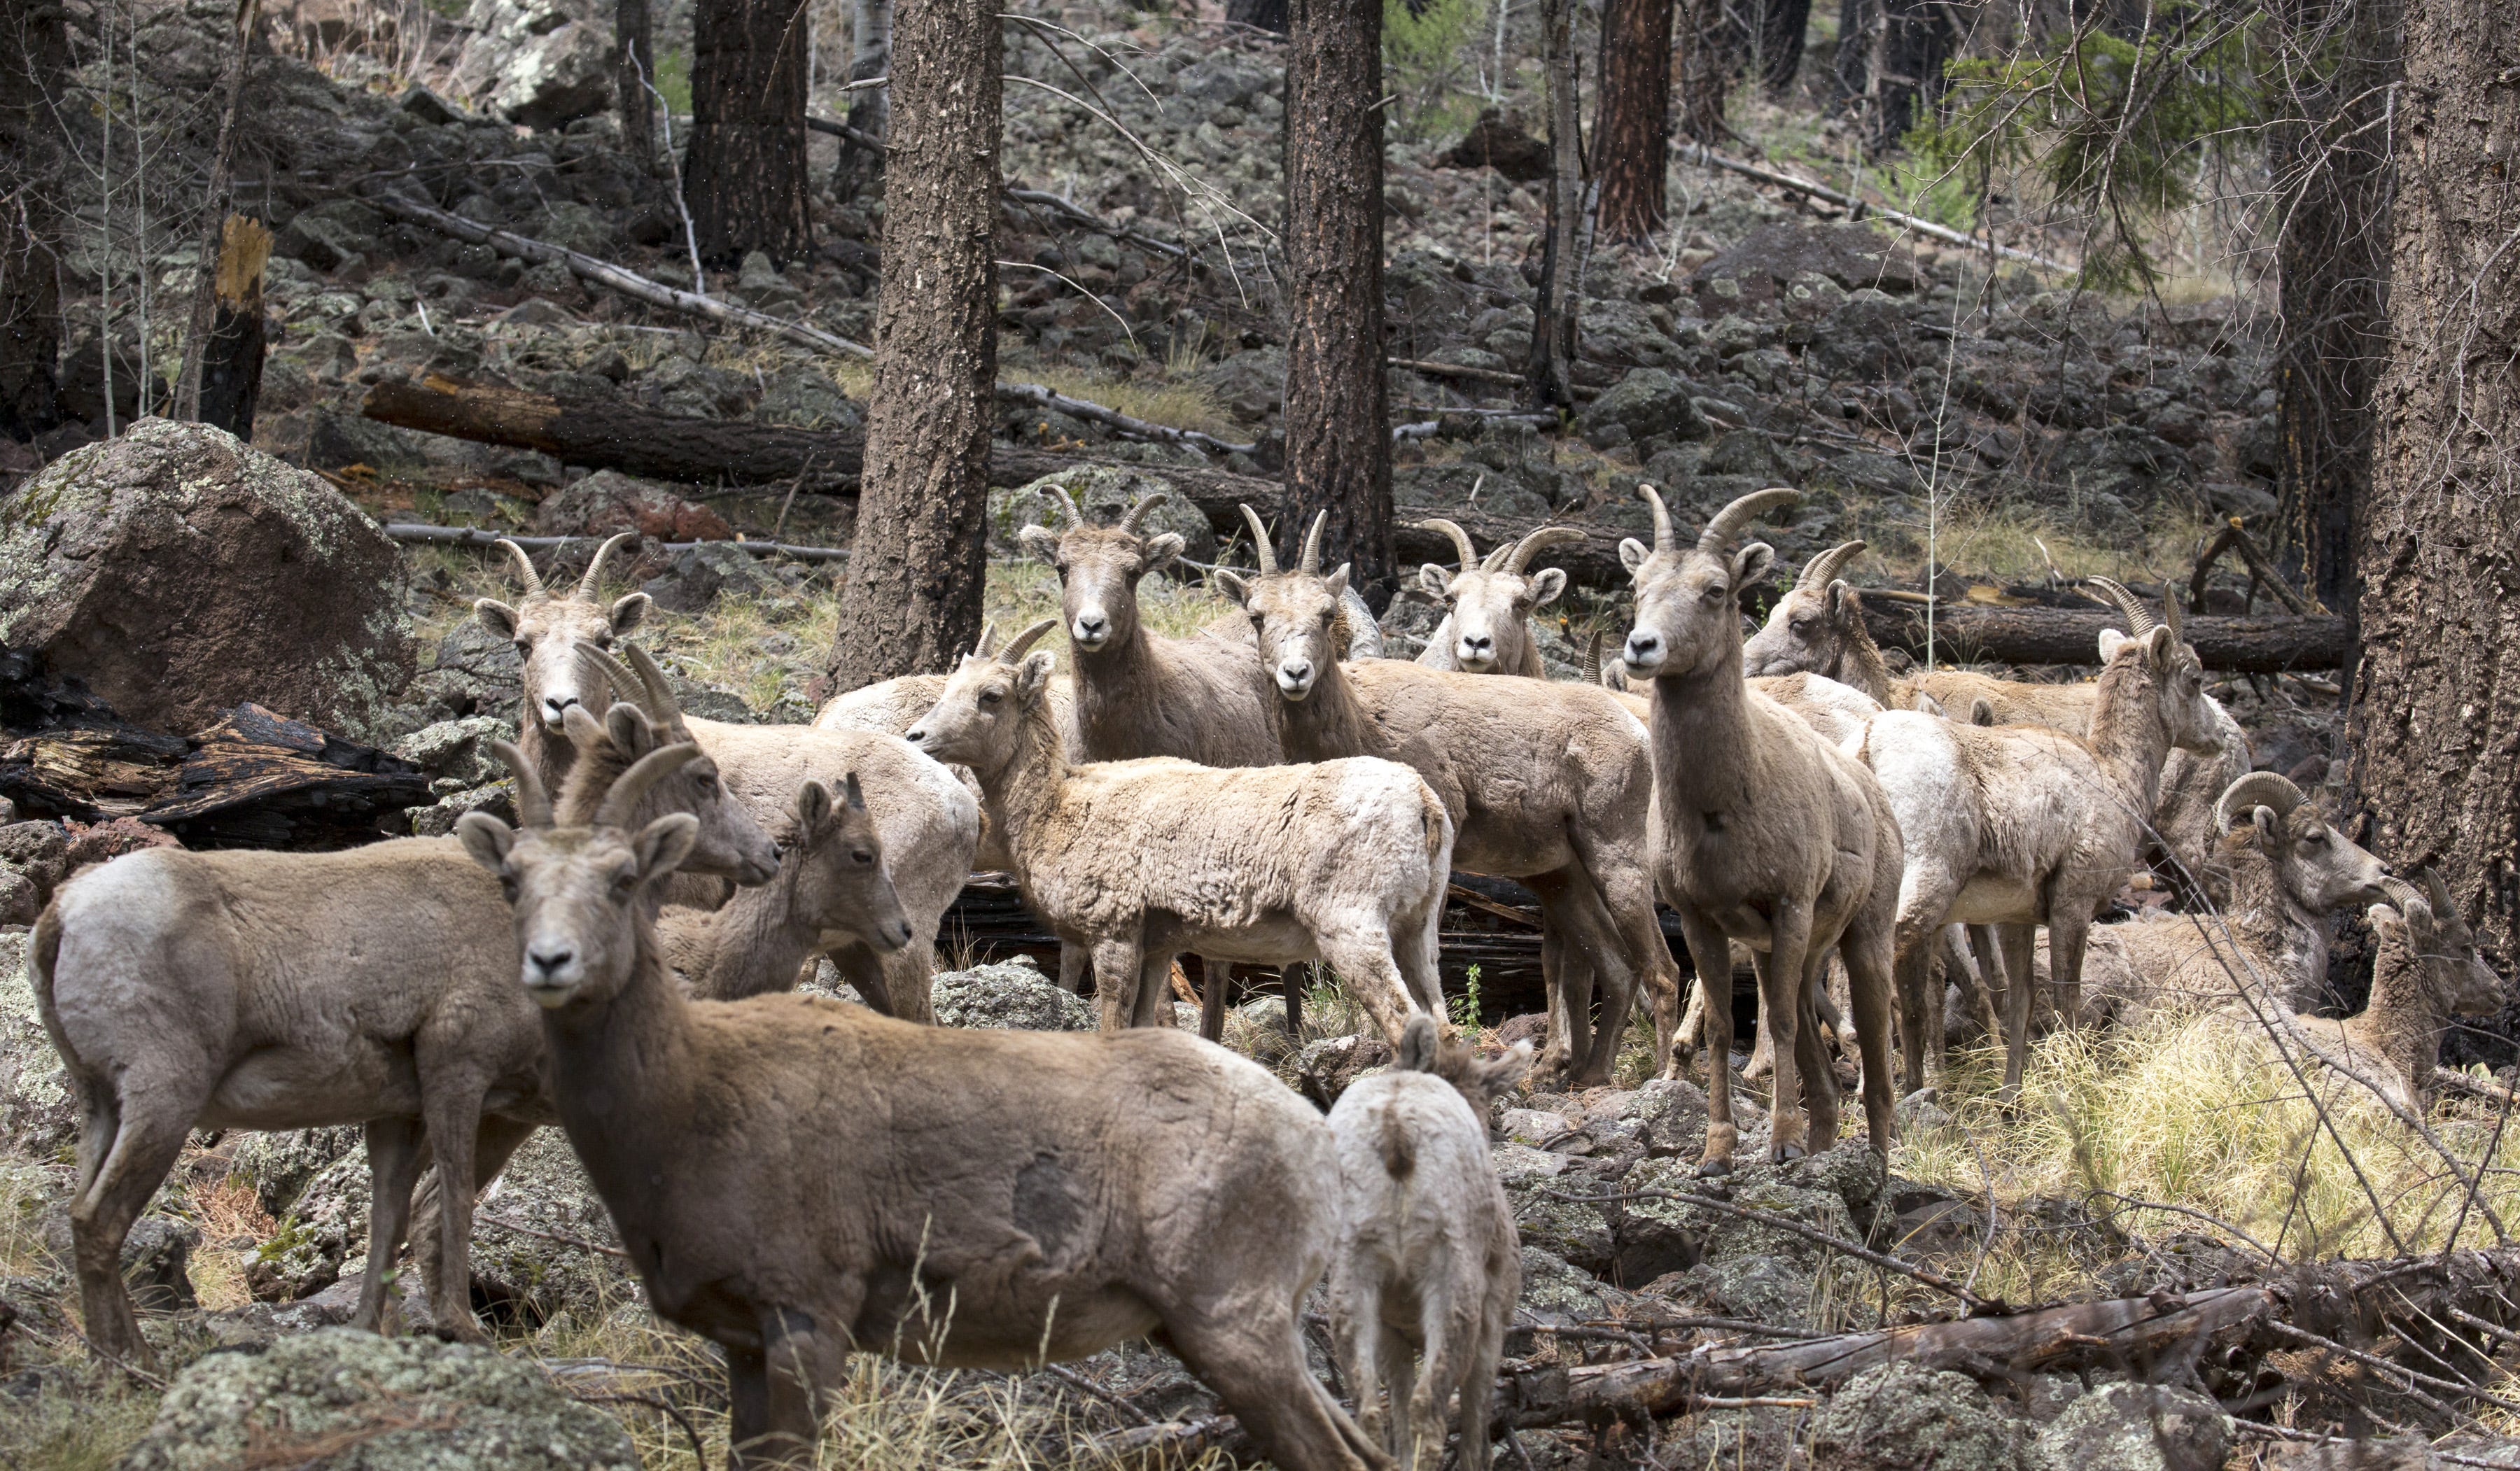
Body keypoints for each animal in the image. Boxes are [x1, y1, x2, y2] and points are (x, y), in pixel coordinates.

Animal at [31, 690, 778, 1369]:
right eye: (705, 778)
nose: (769, 854)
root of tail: (63, 913)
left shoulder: (397, 1113)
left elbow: (388, 1216)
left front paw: (372, 1330)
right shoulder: (459, 1076)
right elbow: (448, 1203)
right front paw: (461, 1328)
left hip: (100, 1101)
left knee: (79, 1211)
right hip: (164, 1096)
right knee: (99, 1220)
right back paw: (133, 1366)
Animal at [904, 621, 1454, 1043]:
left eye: (991, 696)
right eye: (948, 688)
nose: (916, 737)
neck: (1058, 806)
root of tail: (1423, 805)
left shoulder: (1115, 932)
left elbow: (1113, 1027)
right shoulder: (1157, 945)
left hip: (1352, 927)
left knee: (1404, 1023)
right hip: (1418, 930)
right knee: (1444, 1028)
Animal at [1327, 1015, 1532, 1471]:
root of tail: (1395, 1128)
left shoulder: (1393, 1332)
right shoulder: (1494, 1320)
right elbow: (1476, 1416)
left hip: (1353, 1272)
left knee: (1369, 1410)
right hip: (1451, 1276)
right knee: (1429, 1410)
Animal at [1618, 485, 1902, 1169]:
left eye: (1716, 589)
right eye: (1637, 584)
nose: (1643, 647)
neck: (1722, 808)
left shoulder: (1789, 906)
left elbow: (1777, 1026)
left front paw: (1779, 1144)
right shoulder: (1703, 920)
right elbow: (1725, 1027)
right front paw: (1717, 1152)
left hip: (1864, 938)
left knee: (1872, 1048)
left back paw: (1875, 1163)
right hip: (1801, 954)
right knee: (1819, 1062)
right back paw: (1820, 1144)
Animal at [1853, 578, 2225, 1097]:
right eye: (2195, 678)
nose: (2219, 738)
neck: (2114, 774)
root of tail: (1869, 743)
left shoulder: (2017, 918)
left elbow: (2021, 999)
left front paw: (2012, 1097)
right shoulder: (2073, 903)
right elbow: (2068, 999)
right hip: (1925, 885)